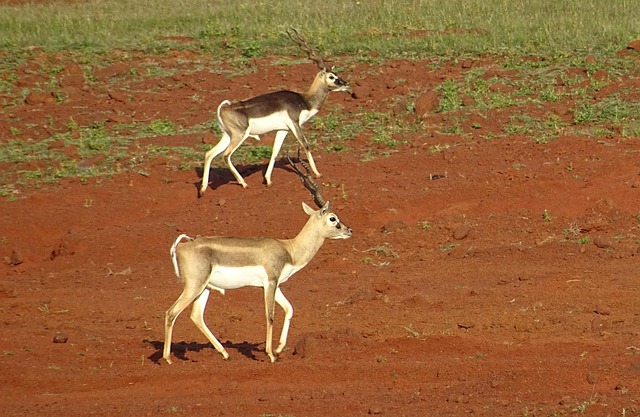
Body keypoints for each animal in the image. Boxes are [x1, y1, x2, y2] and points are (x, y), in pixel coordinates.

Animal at [164, 157, 352, 363]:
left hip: (205, 288)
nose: (349, 230)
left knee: (196, 316)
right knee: (171, 312)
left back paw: (225, 353)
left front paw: (279, 349)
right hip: (194, 286)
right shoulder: (270, 283)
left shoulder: (275, 284)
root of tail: (184, 245)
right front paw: (270, 354)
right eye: (333, 218)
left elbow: (289, 309)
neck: (289, 249)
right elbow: (270, 315)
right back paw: (168, 359)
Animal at [198, 29, 349, 197]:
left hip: (227, 135)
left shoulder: (283, 130)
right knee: (226, 155)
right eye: (332, 76)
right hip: (239, 135)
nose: (345, 84)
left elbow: (275, 152)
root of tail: (224, 107)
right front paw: (317, 173)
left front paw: (268, 180)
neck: (304, 100)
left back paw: (202, 190)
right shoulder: (295, 124)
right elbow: (305, 145)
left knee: (209, 154)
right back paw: (243, 183)